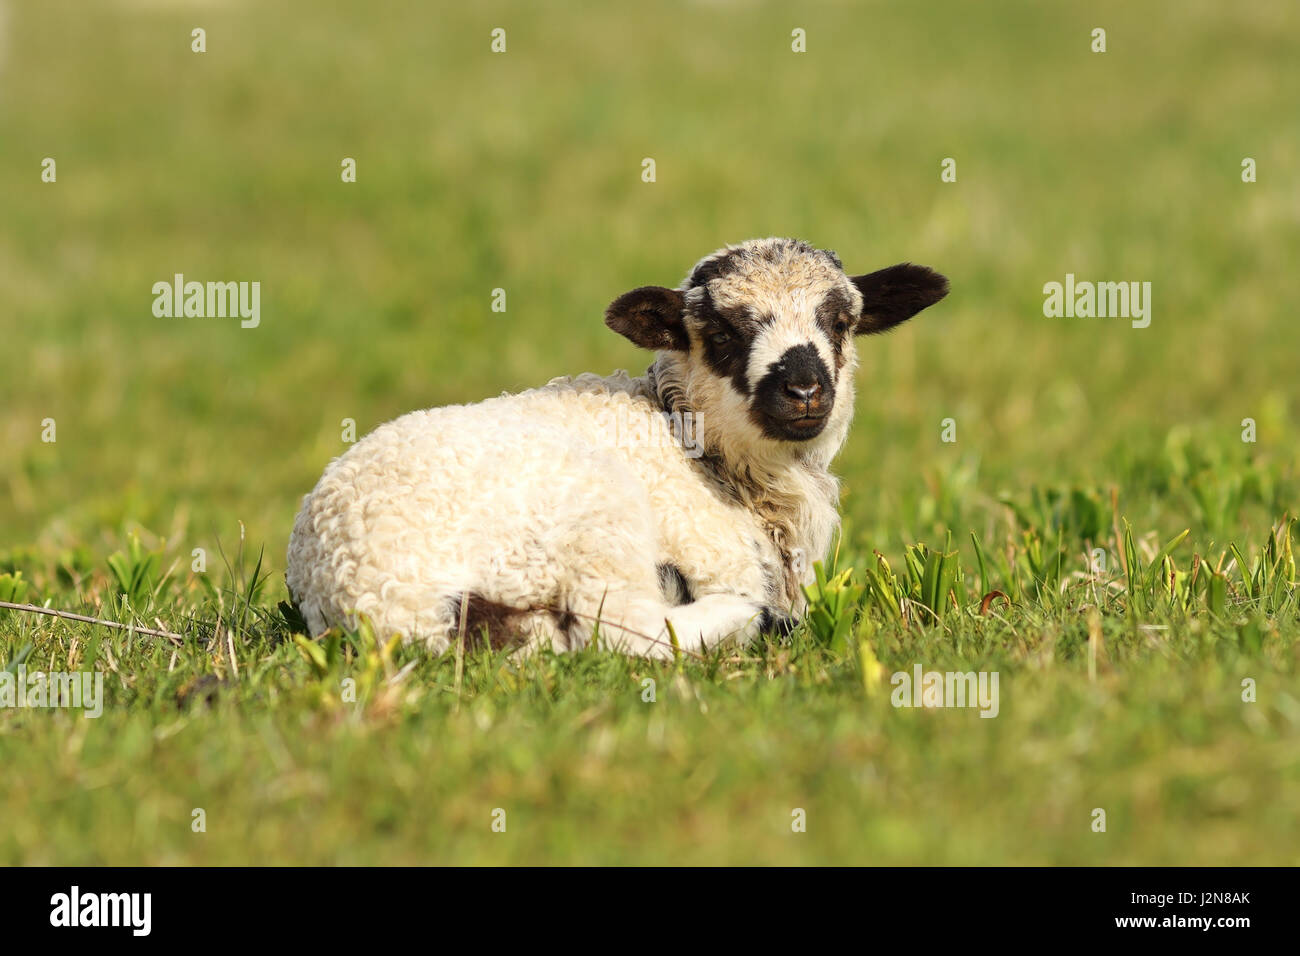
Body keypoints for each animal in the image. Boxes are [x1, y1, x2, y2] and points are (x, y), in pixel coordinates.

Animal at [286, 238, 948, 658]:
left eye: (840, 323)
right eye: (722, 334)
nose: (805, 389)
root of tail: (374, 602)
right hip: (591, 515)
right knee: (622, 631)